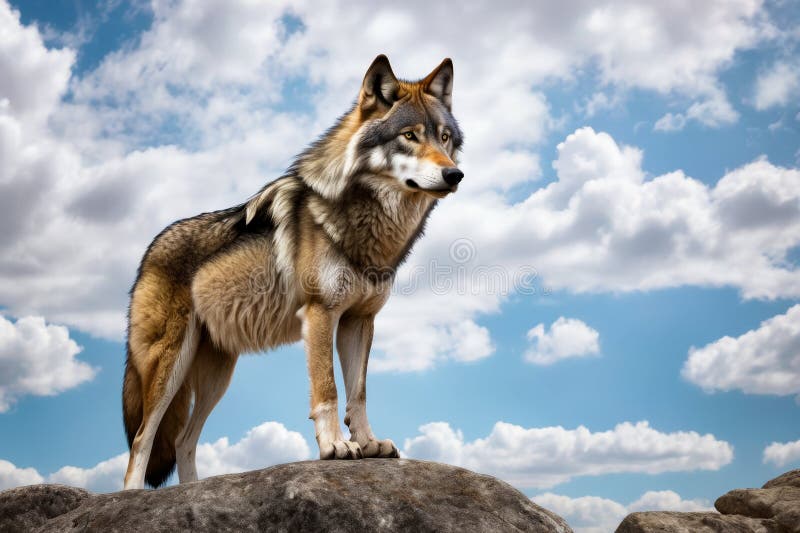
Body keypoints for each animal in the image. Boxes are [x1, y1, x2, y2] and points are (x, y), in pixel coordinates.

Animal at [122, 55, 464, 489]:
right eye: (409, 136)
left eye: (444, 138)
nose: (455, 175)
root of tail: (148, 251)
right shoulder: (320, 313)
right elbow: (328, 390)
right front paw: (335, 447)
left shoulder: (359, 320)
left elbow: (358, 393)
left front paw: (369, 444)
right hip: (171, 366)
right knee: (142, 438)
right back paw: (134, 495)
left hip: (218, 376)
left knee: (183, 439)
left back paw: (192, 490)